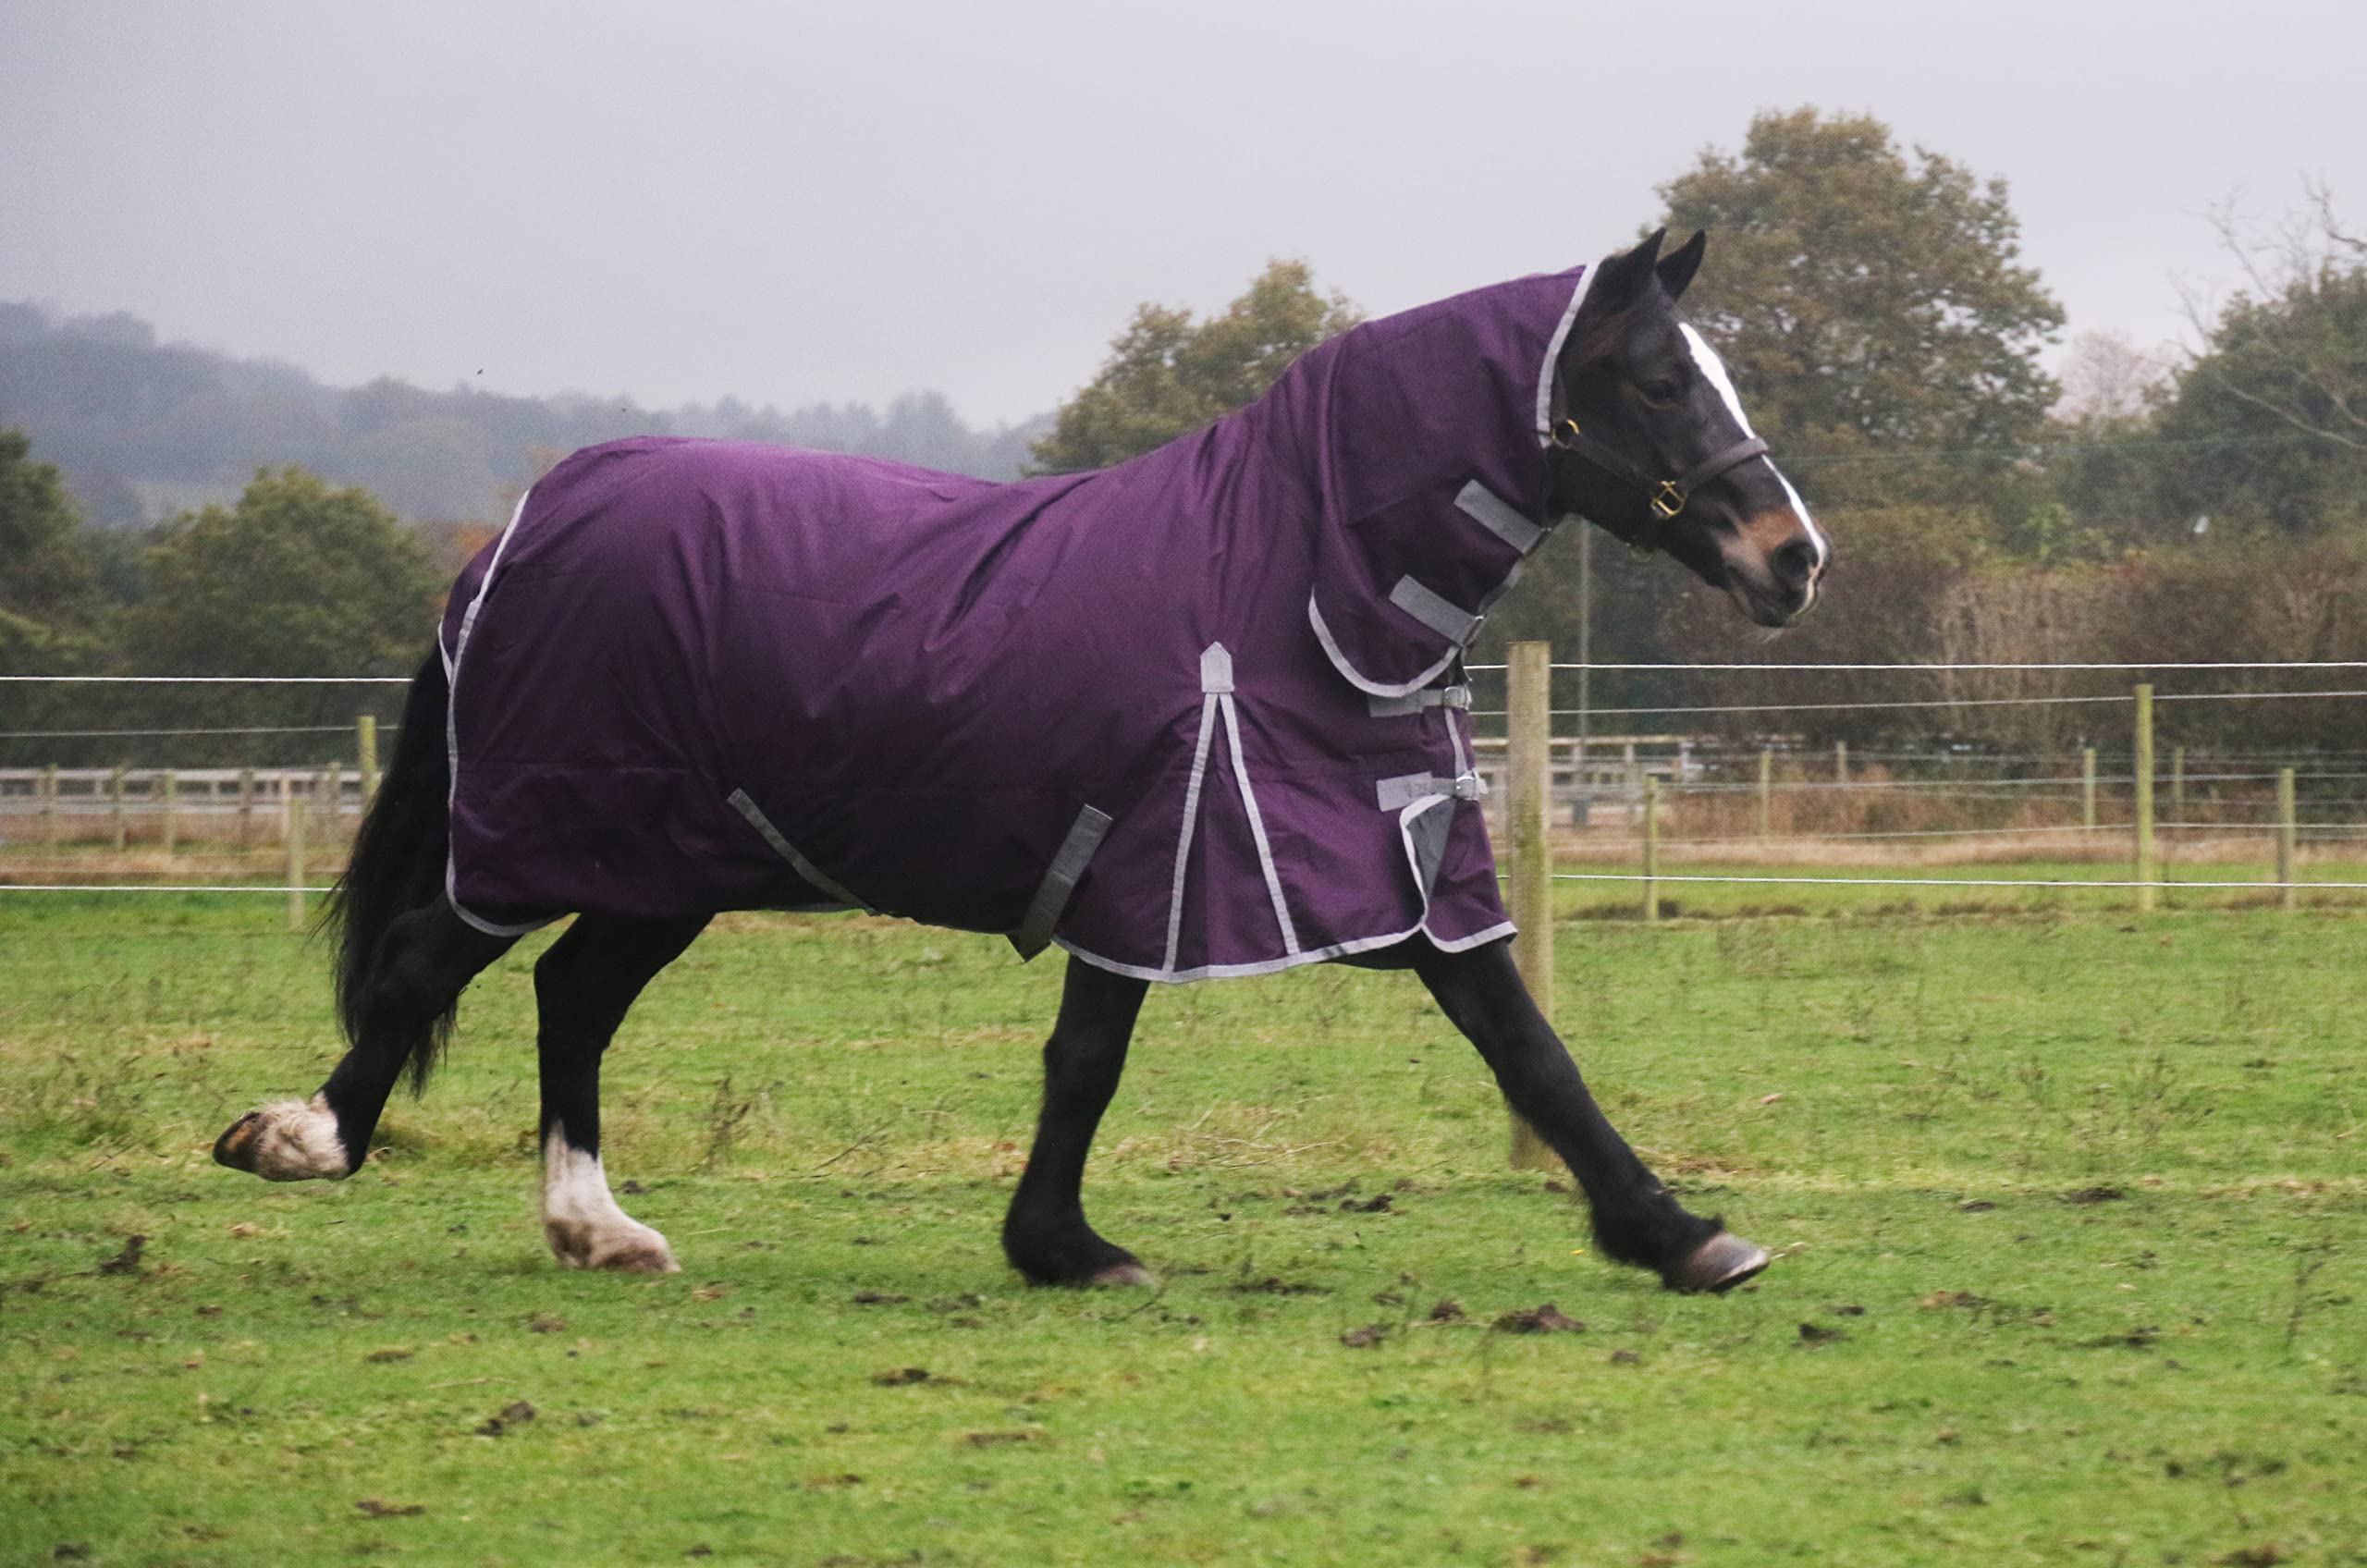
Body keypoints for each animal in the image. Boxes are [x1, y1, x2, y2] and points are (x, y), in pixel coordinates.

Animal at [212, 228, 1829, 1296]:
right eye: (1655, 380)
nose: (1793, 557)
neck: (1290, 581)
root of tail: (525, 523)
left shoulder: (1368, 856)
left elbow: (1520, 1043)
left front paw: (1678, 1233)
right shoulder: (1181, 856)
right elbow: (1098, 1060)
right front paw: (1065, 1249)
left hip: (669, 862)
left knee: (571, 997)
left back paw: (592, 1226)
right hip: (558, 827)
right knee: (429, 957)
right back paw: (303, 1140)